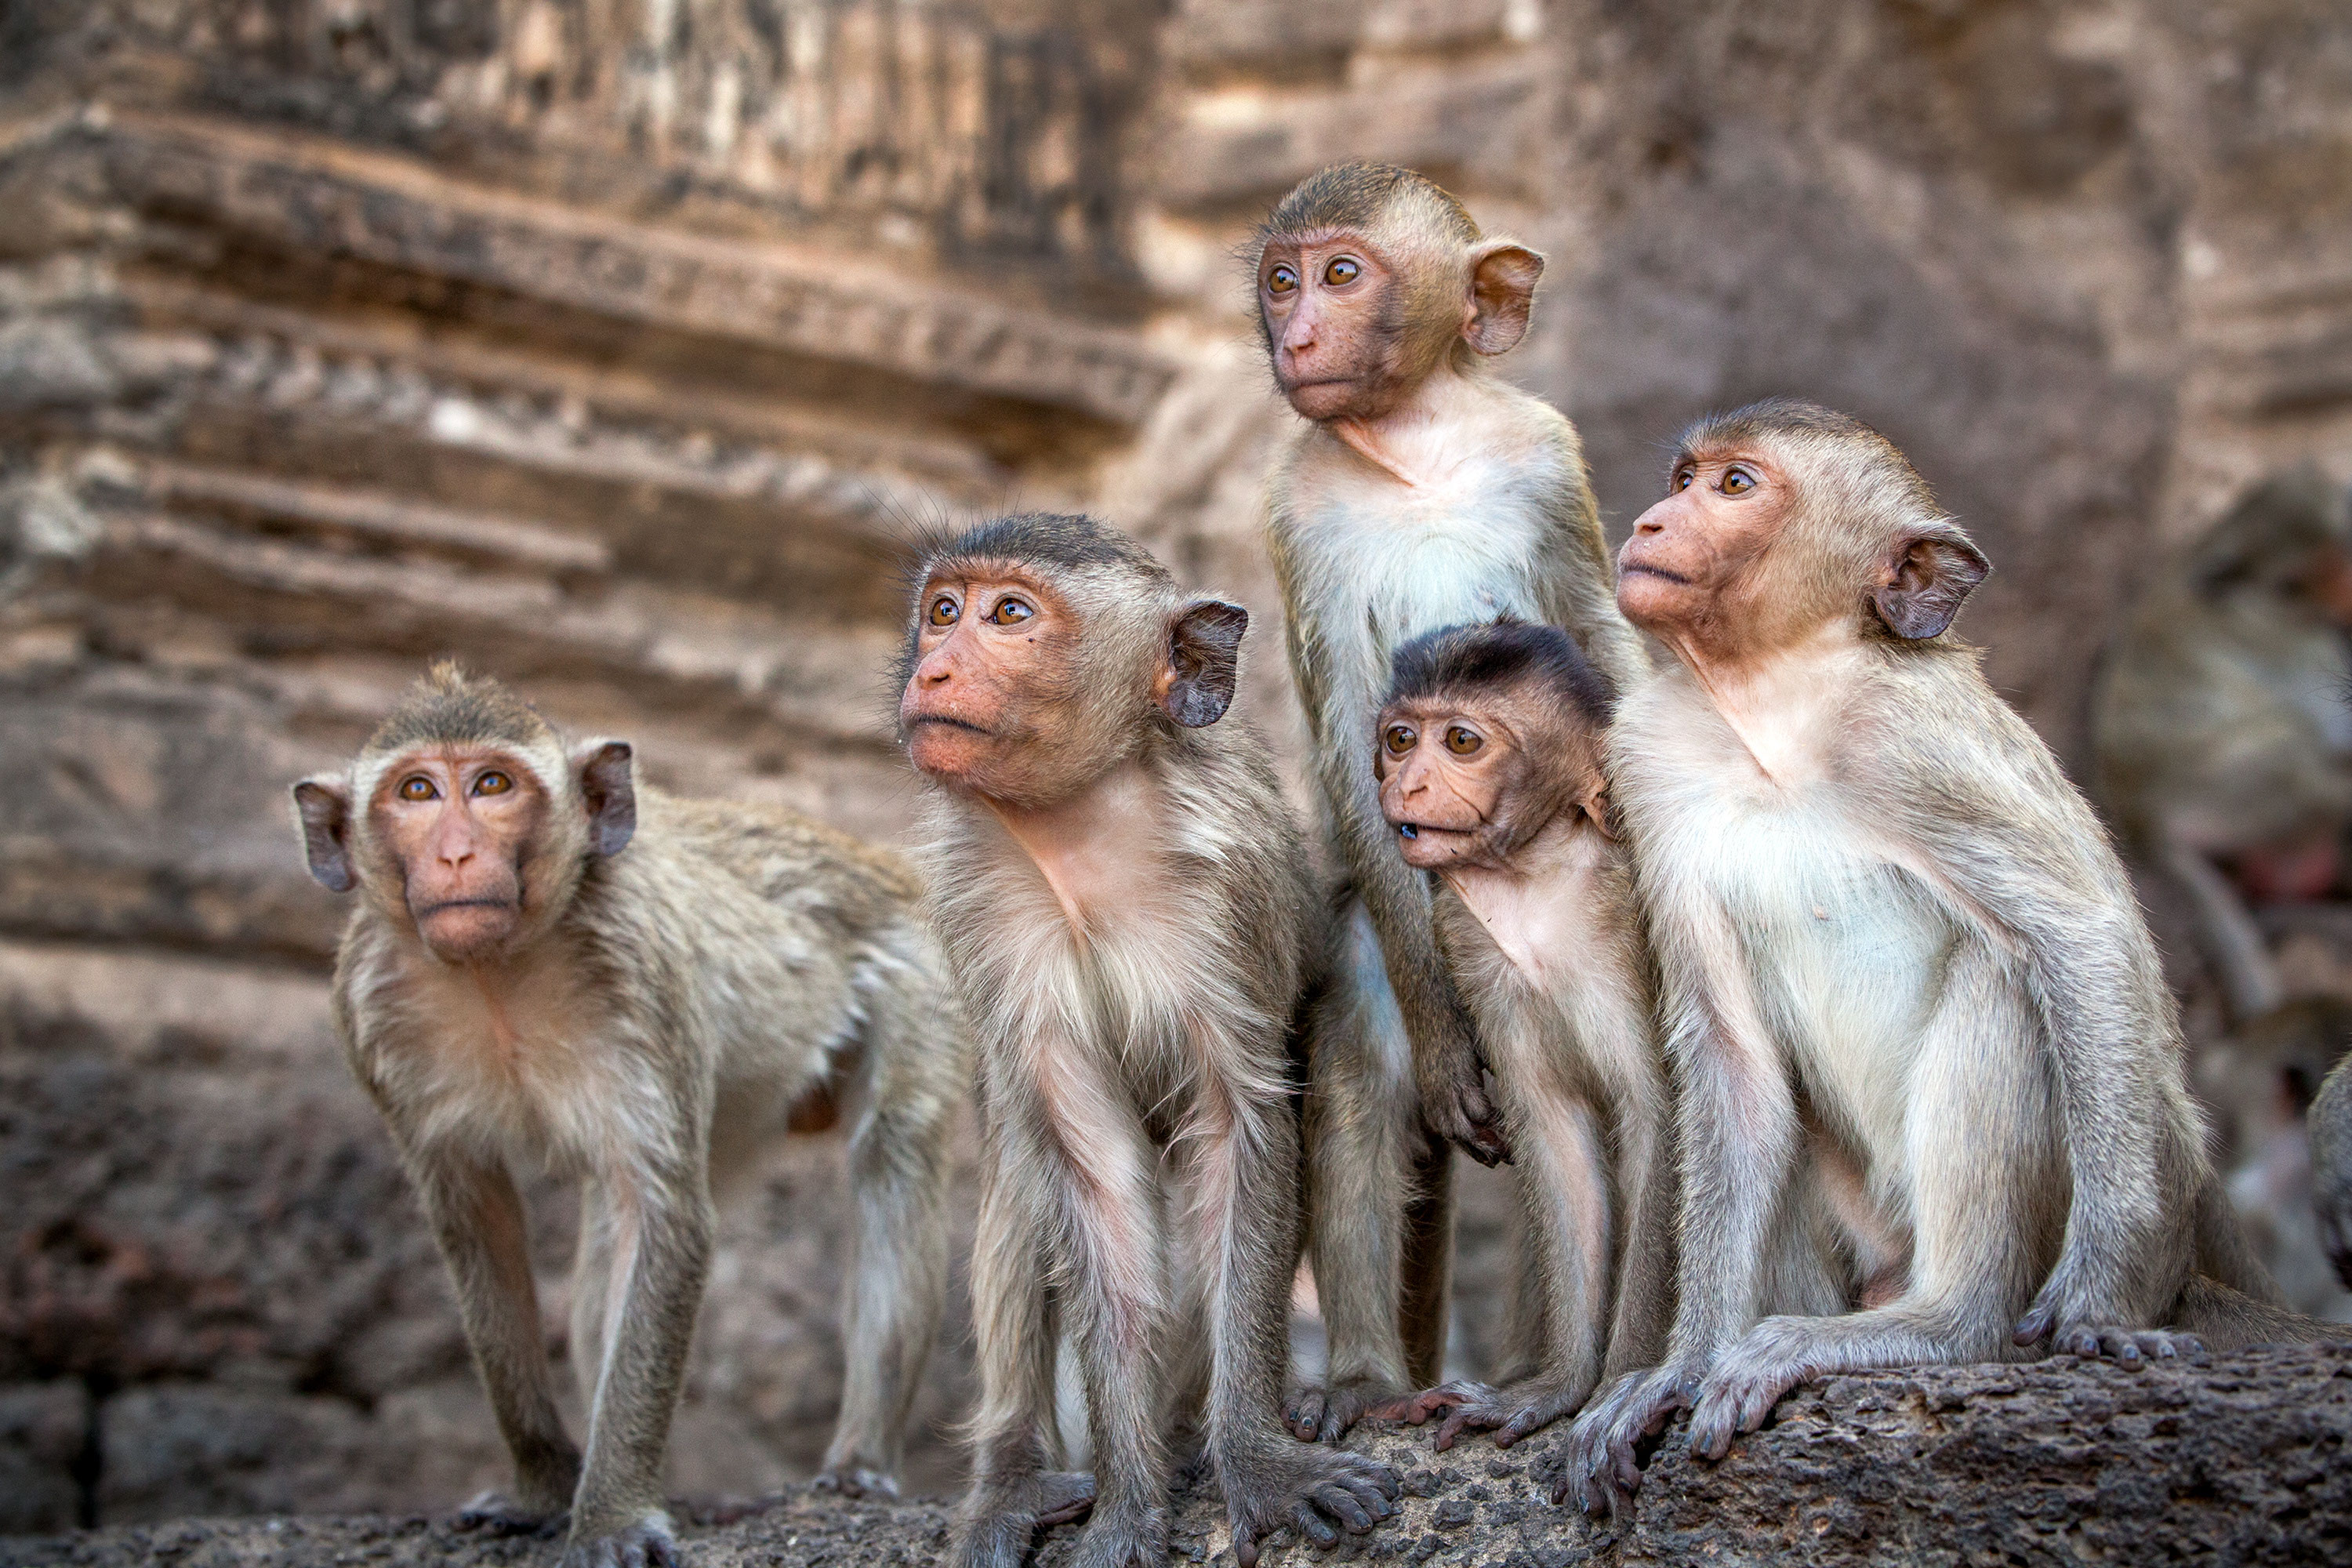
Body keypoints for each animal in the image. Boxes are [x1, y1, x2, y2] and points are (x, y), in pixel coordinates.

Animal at [290, 664, 962, 1568]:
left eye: (493, 785)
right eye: (417, 791)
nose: (456, 852)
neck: (494, 974)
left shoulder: (642, 974)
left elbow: (663, 1216)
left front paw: (609, 1516)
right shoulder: (370, 1013)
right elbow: (481, 1228)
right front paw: (543, 1489)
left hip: (917, 974)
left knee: (894, 1158)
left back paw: (857, 1460)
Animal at [898, 512, 1399, 1568]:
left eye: (1010, 614)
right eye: (943, 611)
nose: (933, 668)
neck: (1083, 829)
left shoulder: (1228, 896)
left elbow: (1236, 1127)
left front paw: (1254, 1457)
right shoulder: (981, 907)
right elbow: (1089, 1172)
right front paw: (1130, 1506)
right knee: (1022, 1157)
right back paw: (1014, 1468)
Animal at [1362, 619, 1675, 1452]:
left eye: (1461, 741)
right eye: (1401, 739)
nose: (1405, 785)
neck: (1537, 875)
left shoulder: (1637, 913)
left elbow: (1660, 1123)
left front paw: (1617, 1390)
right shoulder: (1464, 934)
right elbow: (1555, 1131)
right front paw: (1556, 1389)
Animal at [2091, 467, 2352, 1024]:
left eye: (2340, 553)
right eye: (2293, 584)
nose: (2345, 598)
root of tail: (2141, 820)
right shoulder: (2292, 644)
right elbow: (2334, 726)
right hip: (2228, 794)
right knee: (2293, 759)